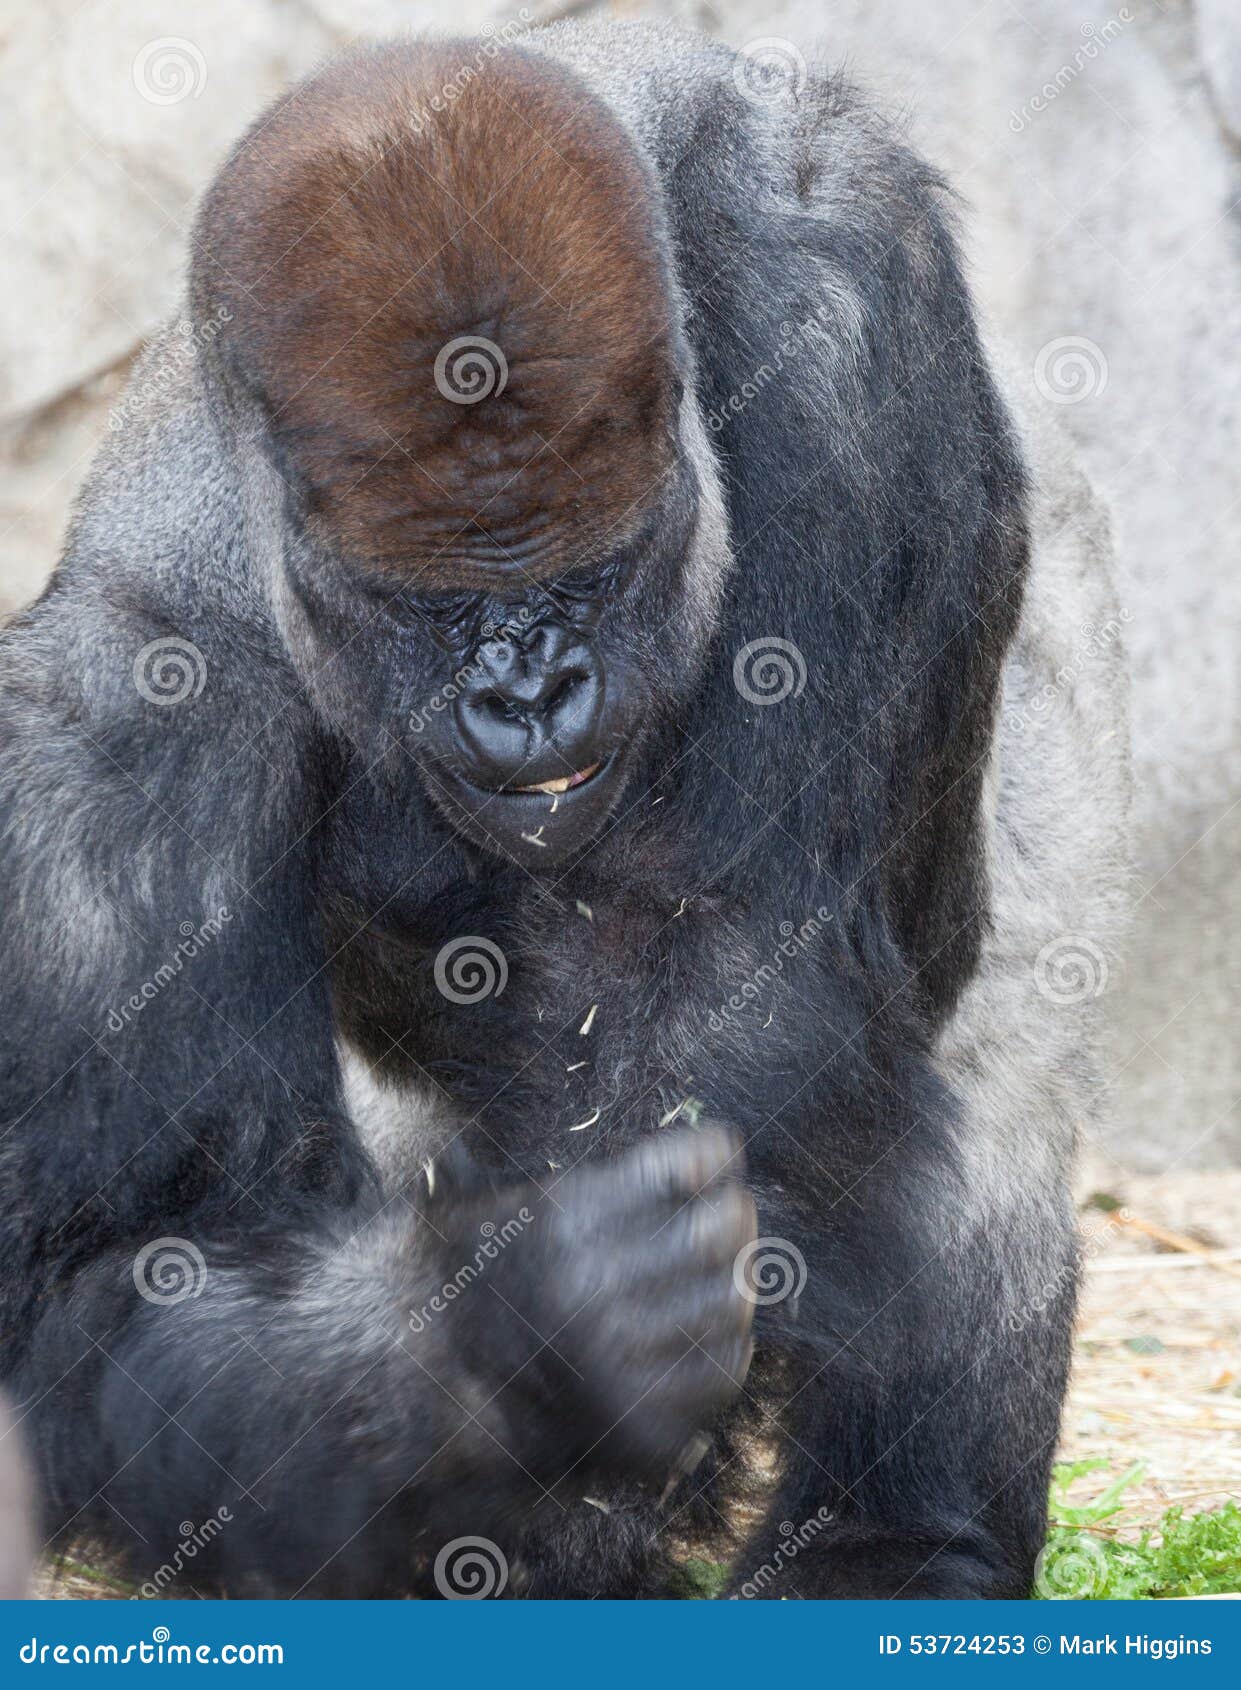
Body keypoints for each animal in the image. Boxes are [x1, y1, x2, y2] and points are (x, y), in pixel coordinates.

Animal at [0, 23, 1128, 1598]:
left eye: (591, 571)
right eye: (437, 605)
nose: (531, 690)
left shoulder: (838, 285)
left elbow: (740, 962)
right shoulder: (113, 710)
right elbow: (106, 1264)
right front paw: (516, 1359)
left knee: (999, 1049)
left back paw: (902, 1544)